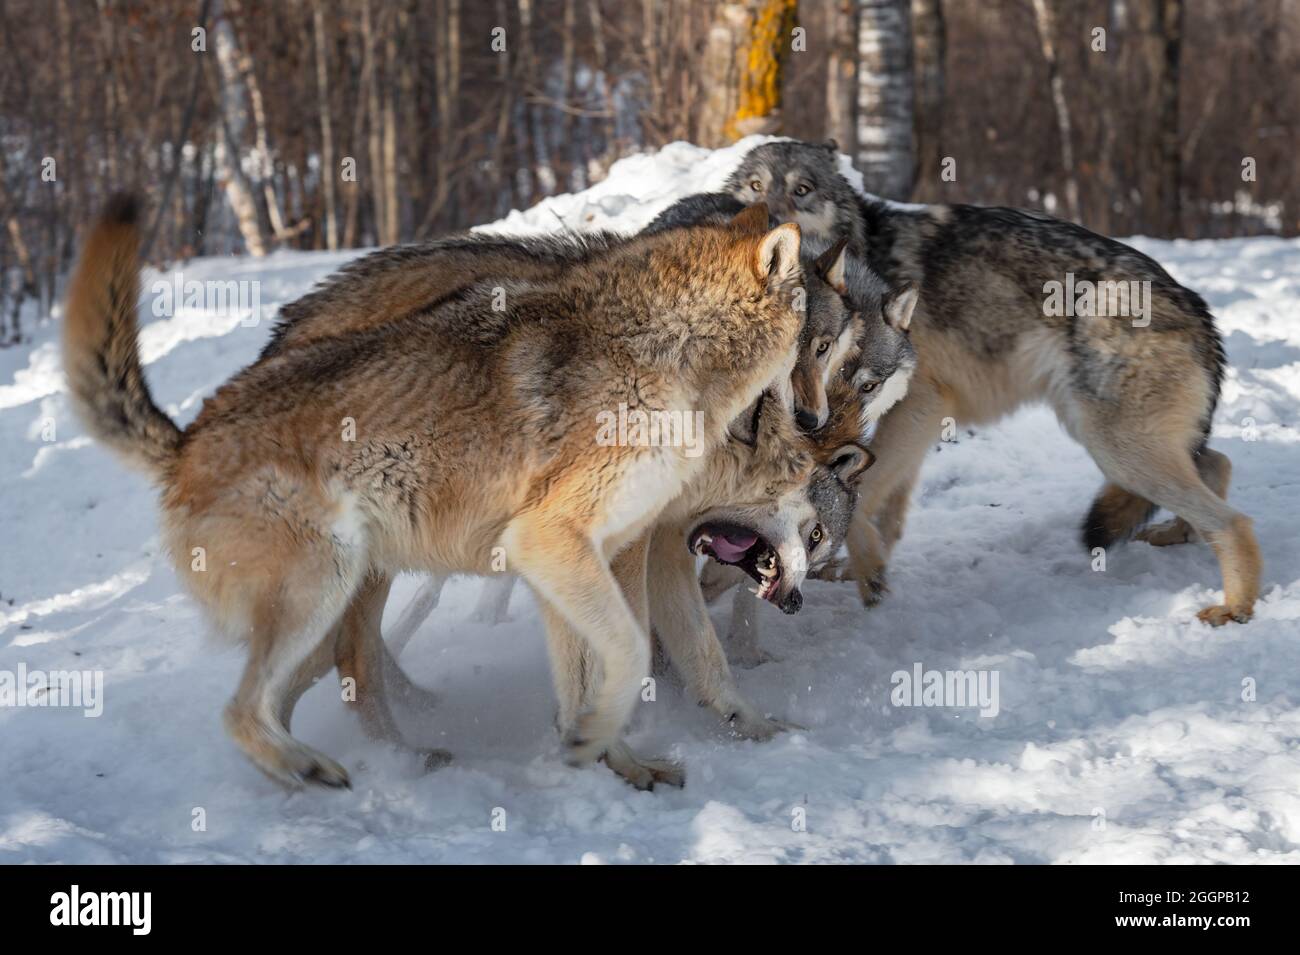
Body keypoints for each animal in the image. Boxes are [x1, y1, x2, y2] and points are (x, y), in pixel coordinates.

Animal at [64, 196, 810, 789]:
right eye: (807, 334)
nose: (808, 420)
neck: (668, 356)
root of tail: (186, 441)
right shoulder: (549, 541)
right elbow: (628, 653)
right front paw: (598, 744)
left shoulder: (583, 560)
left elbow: (591, 681)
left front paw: (609, 759)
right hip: (326, 582)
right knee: (250, 708)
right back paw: (324, 768)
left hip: (334, 596)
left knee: (303, 692)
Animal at [709, 139, 1260, 626]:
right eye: (755, 187)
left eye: (802, 189)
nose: (771, 222)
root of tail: (1197, 305)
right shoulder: (916, 418)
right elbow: (886, 508)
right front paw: (863, 568)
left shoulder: (919, 406)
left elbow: (864, 494)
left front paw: (865, 572)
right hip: (1112, 438)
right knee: (1218, 463)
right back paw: (1178, 536)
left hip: (1114, 446)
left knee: (1233, 517)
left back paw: (1233, 608)